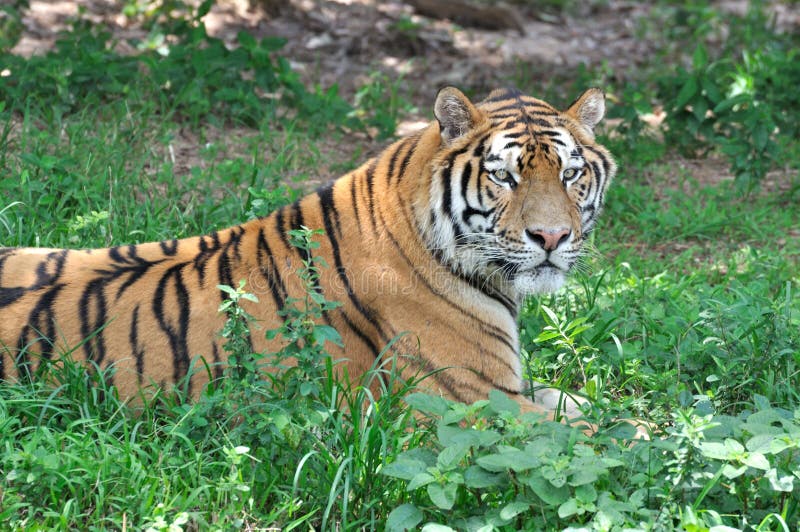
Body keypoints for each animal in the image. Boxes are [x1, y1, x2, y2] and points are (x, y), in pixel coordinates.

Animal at [0, 86, 616, 425]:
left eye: (570, 174)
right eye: (504, 177)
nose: (551, 237)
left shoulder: (508, 389)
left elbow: (579, 402)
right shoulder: (467, 401)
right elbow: (598, 435)